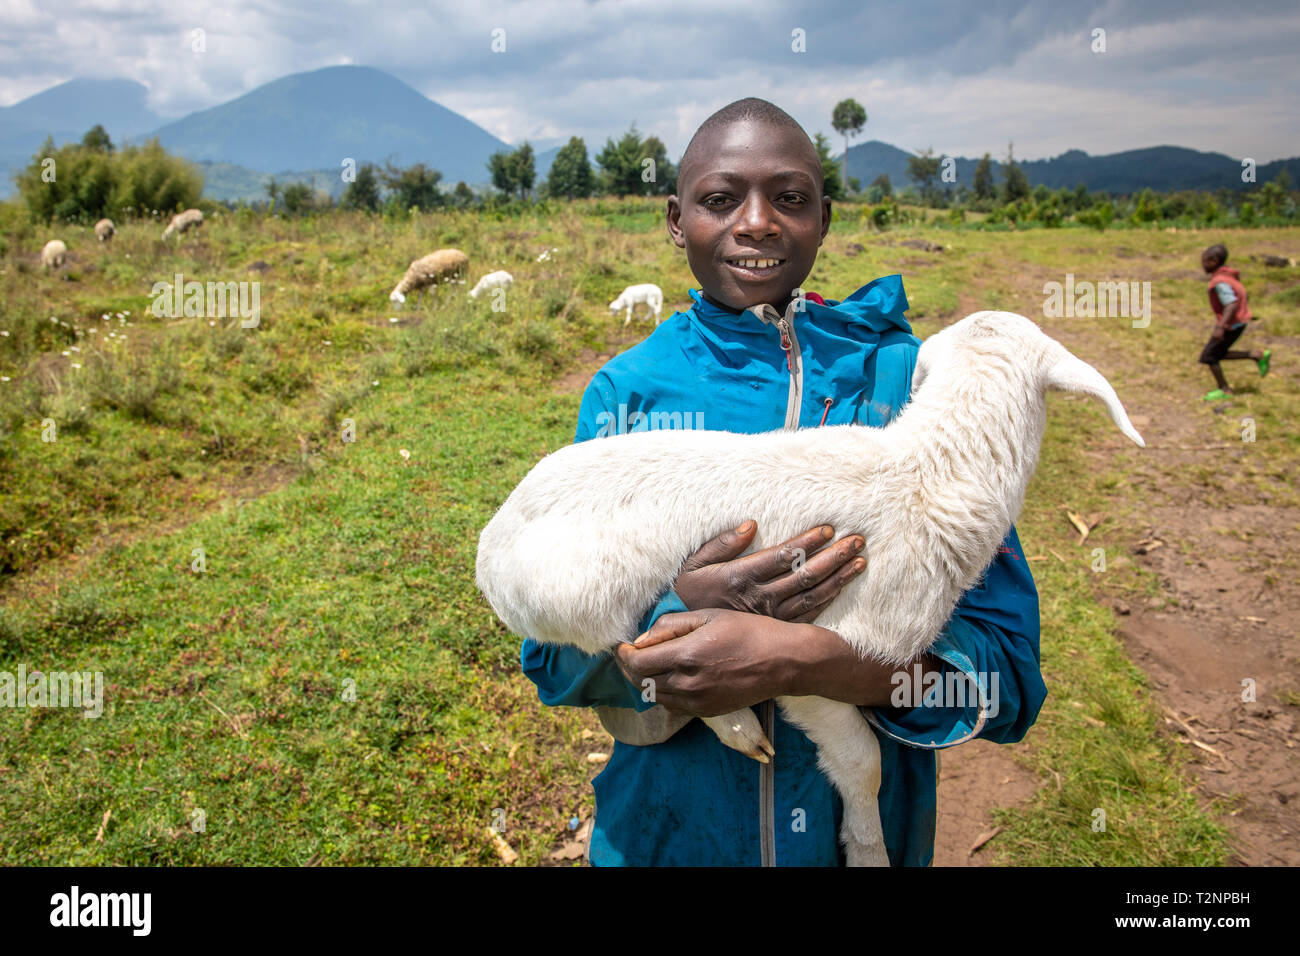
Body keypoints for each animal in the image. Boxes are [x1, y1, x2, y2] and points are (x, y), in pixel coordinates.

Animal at [475, 309, 1145, 866]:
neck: (930, 465)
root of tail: (490, 552)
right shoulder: (828, 650)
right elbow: (863, 762)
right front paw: (869, 849)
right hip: (583, 600)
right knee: (625, 648)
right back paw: (738, 726)